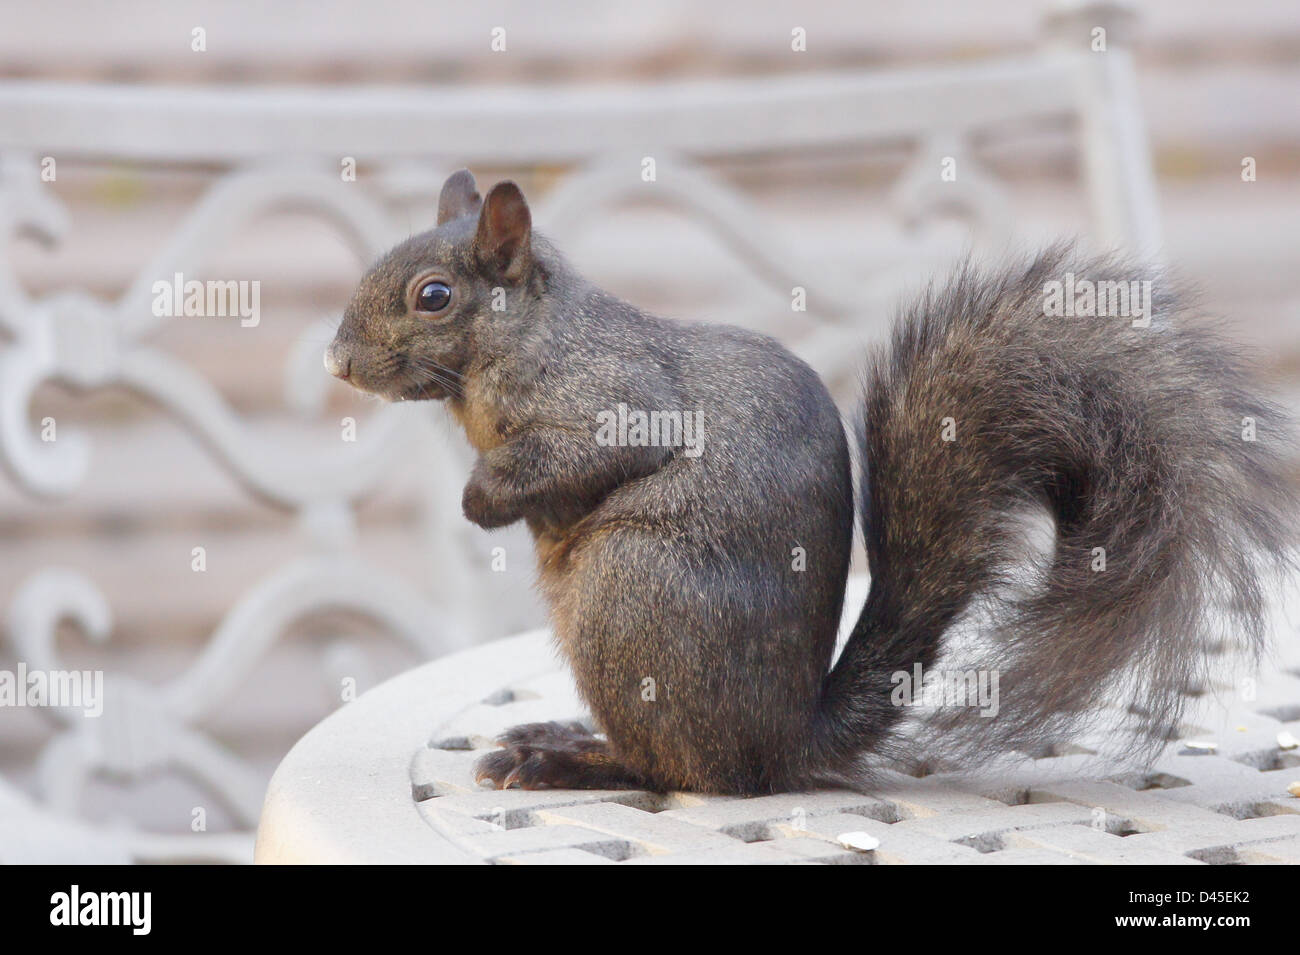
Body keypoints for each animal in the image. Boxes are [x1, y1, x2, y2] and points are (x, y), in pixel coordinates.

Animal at [326, 169, 1295, 795]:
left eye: (433, 295)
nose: (337, 362)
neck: (516, 346)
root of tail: (787, 743)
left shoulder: (615, 397)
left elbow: (582, 456)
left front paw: (482, 498)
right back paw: (564, 734)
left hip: (629, 596)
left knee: (691, 772)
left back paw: (572, 760)